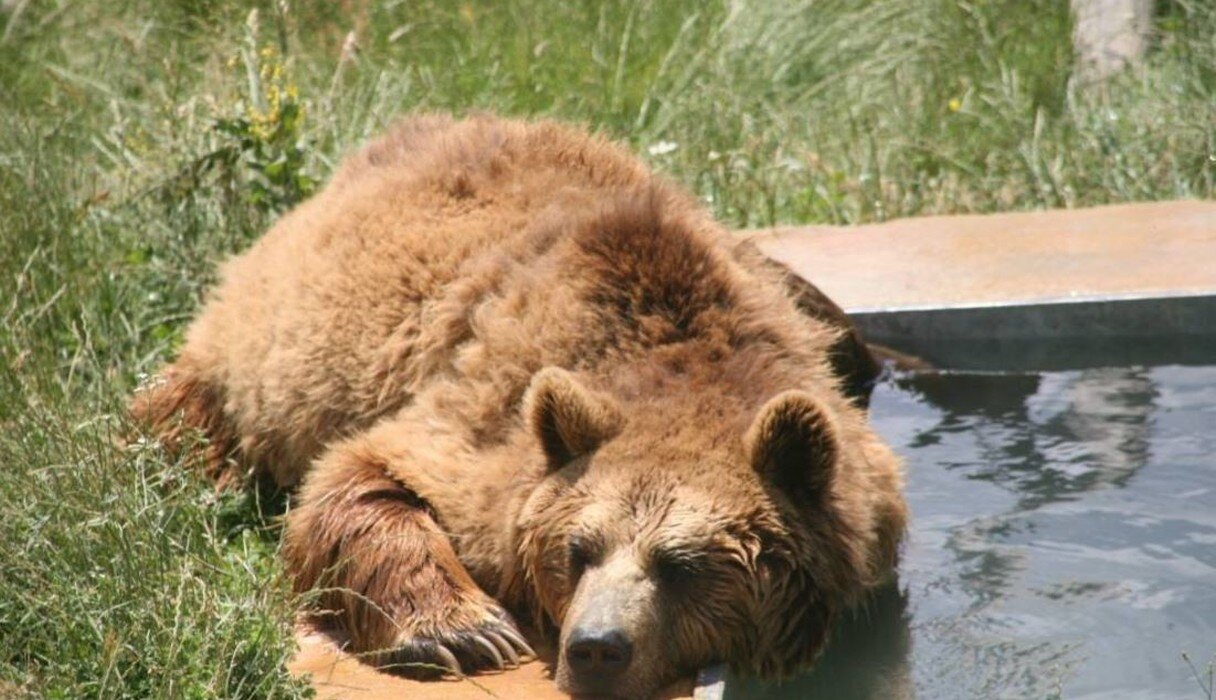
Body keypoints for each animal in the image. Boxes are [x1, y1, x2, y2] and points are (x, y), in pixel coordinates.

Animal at [131, 114, 907, 699]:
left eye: (682, 564)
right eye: (578, 549)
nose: (597, 647)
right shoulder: (483, 426)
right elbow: (362, 478)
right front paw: (465, 632)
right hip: (252, 350)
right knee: (187, 416)